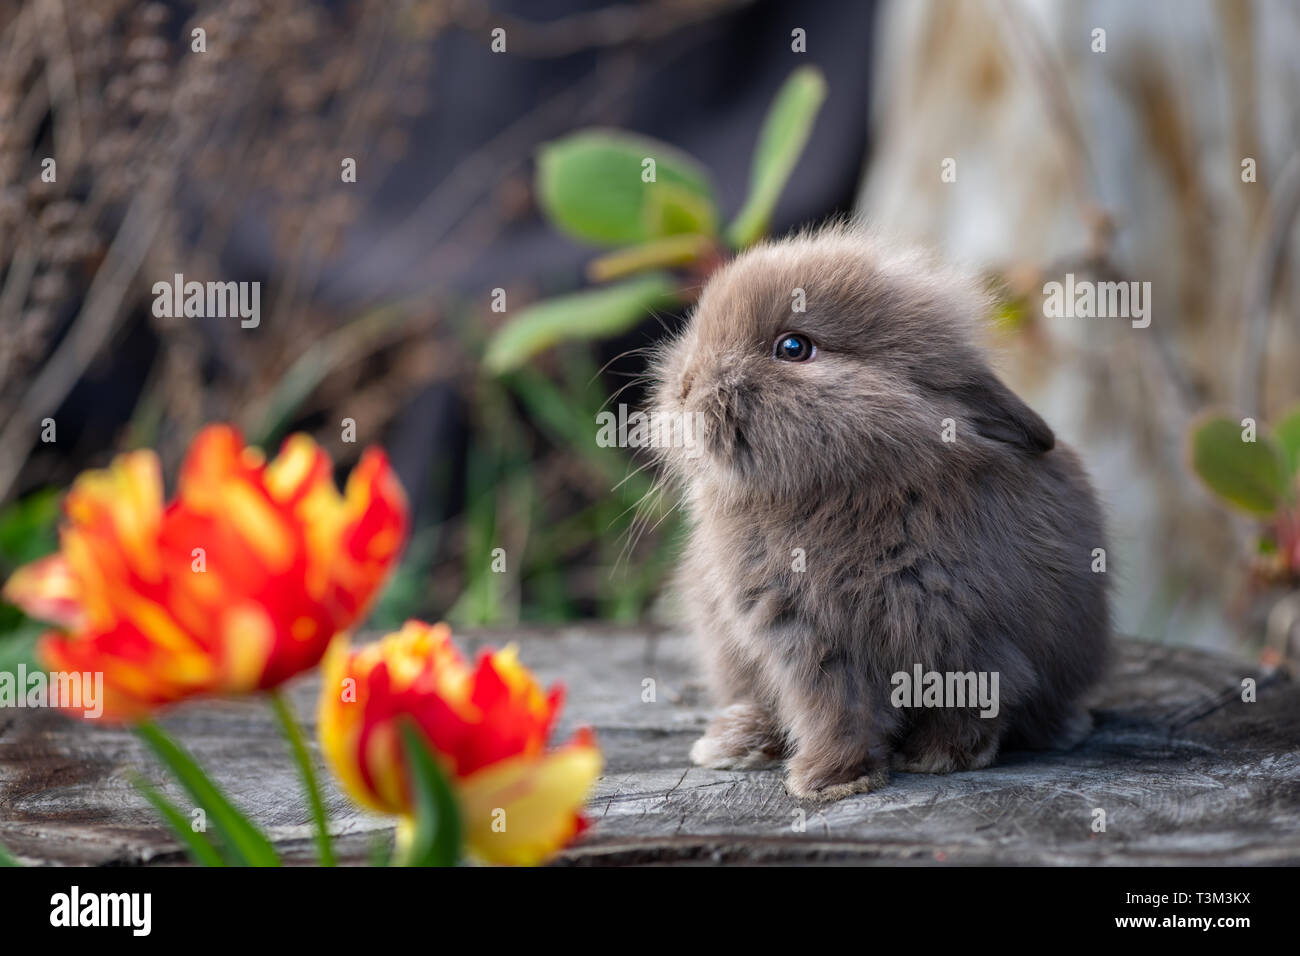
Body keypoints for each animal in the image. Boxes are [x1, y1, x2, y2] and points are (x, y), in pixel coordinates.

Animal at [647, 223, 1111, 801]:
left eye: (793, 347)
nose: (685, 388)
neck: (846, 488)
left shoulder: (974, 645)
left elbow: (969, 704)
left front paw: (932, 759)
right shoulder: (806, 642)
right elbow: (836, 711)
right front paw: (830, 780)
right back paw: (733, 744)